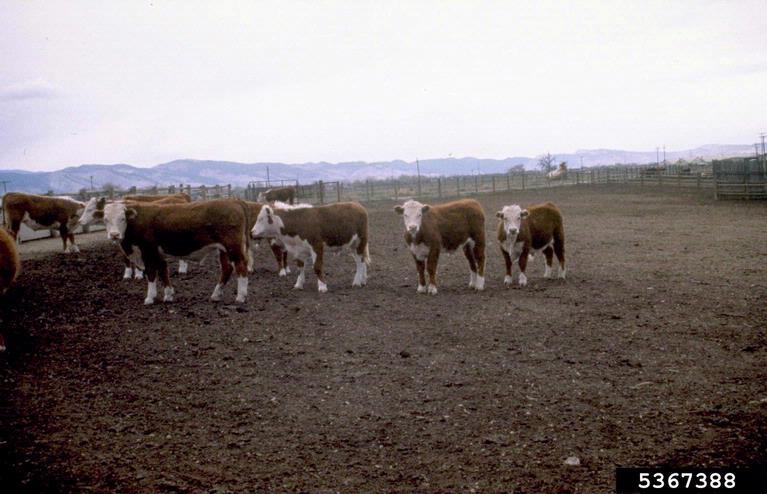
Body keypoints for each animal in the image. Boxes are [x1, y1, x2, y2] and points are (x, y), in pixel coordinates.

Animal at [102, 199, 251, 304]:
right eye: (105, 219)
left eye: (122, 218)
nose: (114, 235)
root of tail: (233, 200)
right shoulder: (158, 254)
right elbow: (163, 271)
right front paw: (168, 295)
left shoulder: (148, 251)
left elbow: (151, 273)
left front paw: (150, 297)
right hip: (223, 249)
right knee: (227, 268)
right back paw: (216, 295)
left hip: (233, 247)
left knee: (241, 266)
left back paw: (241, 296)